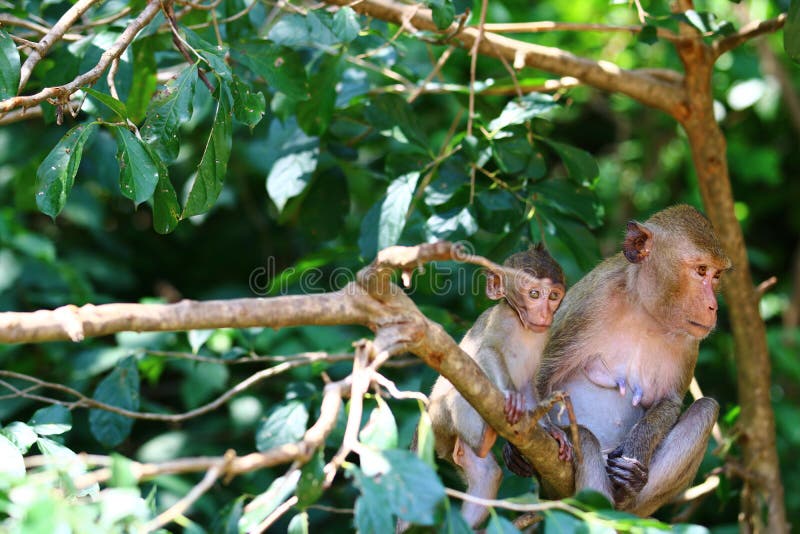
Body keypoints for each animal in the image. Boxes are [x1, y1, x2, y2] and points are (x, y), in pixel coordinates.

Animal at [424, 244, 572, 528]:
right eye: (534, 294)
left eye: (553, 296)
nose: (545, 313)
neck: (523, 325)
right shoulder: (503, 318)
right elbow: (488, 351)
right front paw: (511, 395)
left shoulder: (544, 335)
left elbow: (530, 383)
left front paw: (551, 430)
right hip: (442, 416)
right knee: (460, 393)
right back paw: (485, 438)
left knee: (487, 475)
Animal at [503, 204, 731, 516]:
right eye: (701, 271)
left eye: (717, 275)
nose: (713, 307)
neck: (645, 310)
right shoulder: (590, 303)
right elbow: (540, 375)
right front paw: (516, 449)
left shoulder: (690, 339)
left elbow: (668, 401)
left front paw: (633, 464)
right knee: (585, 439)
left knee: (706, 409)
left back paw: (627, 494)